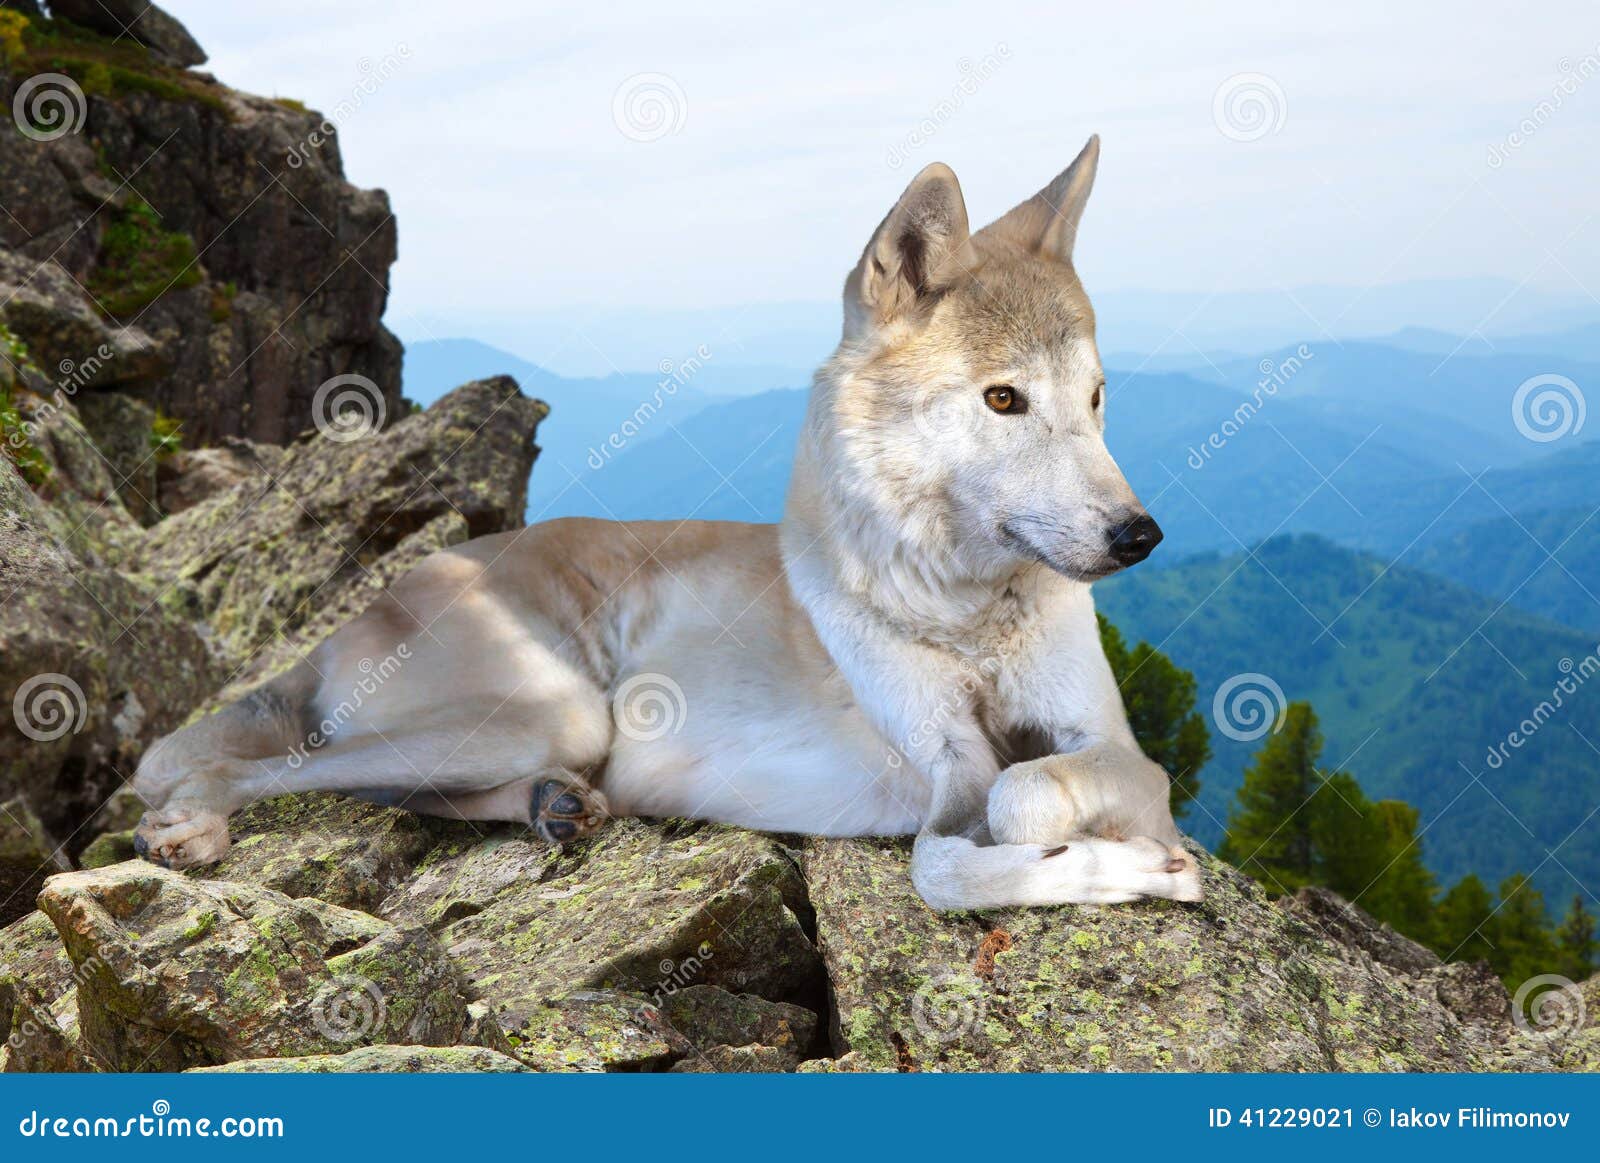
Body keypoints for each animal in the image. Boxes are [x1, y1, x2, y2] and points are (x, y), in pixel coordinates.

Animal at [132, 137, 1202, 909]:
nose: (1140, 535)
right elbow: (957, 853)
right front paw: (1132, 868)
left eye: (1098, 398)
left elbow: (1032, 785)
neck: (960, 613)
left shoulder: (1110, 739)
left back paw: (554, 805)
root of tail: (382, 596)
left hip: (546, 730)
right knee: (253, 765)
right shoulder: (947, 773)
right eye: (1005, 400)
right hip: (547, 708)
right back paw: (193, 823)